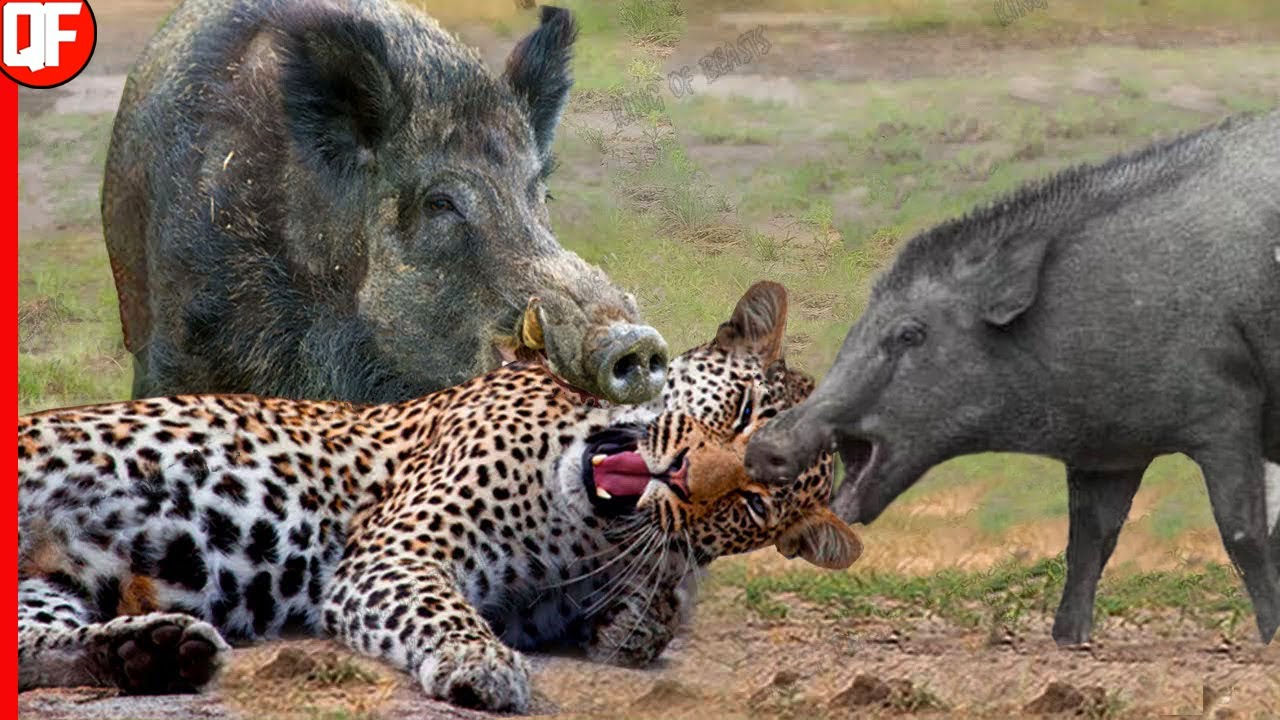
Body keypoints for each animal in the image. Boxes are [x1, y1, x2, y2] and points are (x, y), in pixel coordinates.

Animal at [17, 281, 860, 712]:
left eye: (754, 503)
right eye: (741, 412)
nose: (685, 477)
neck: (586, 534)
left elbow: (651, 611)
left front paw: (639, 618)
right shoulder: (397, 551)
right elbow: (440, 609)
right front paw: (478, 662)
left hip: (49, 584)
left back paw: (149, 652)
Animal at [746, 109, 1280, 645]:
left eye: (910, 334)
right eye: (860, 322)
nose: (763, 447)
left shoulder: (1226, 416)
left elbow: (1243, 533)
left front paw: (1270, 637)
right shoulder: (1107, 453)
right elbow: (1088, 543)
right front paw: (1068, 640)